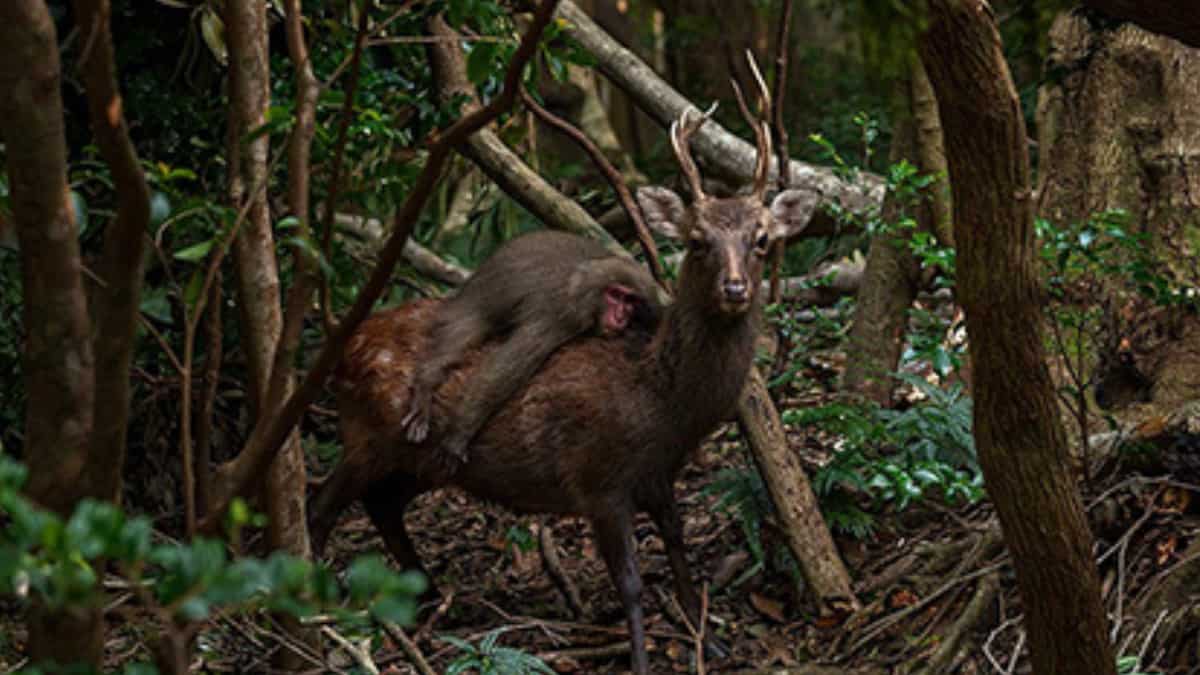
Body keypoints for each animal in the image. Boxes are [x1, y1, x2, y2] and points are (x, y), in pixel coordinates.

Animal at [400, 229, 663, 467]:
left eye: (630, 301)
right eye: (615, 295)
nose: (620, 317)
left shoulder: (653, 312)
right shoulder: (561, 314)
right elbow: (503, 372)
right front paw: (458, 434)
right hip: (477, 298)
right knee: (462, 330)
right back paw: (426, 382)